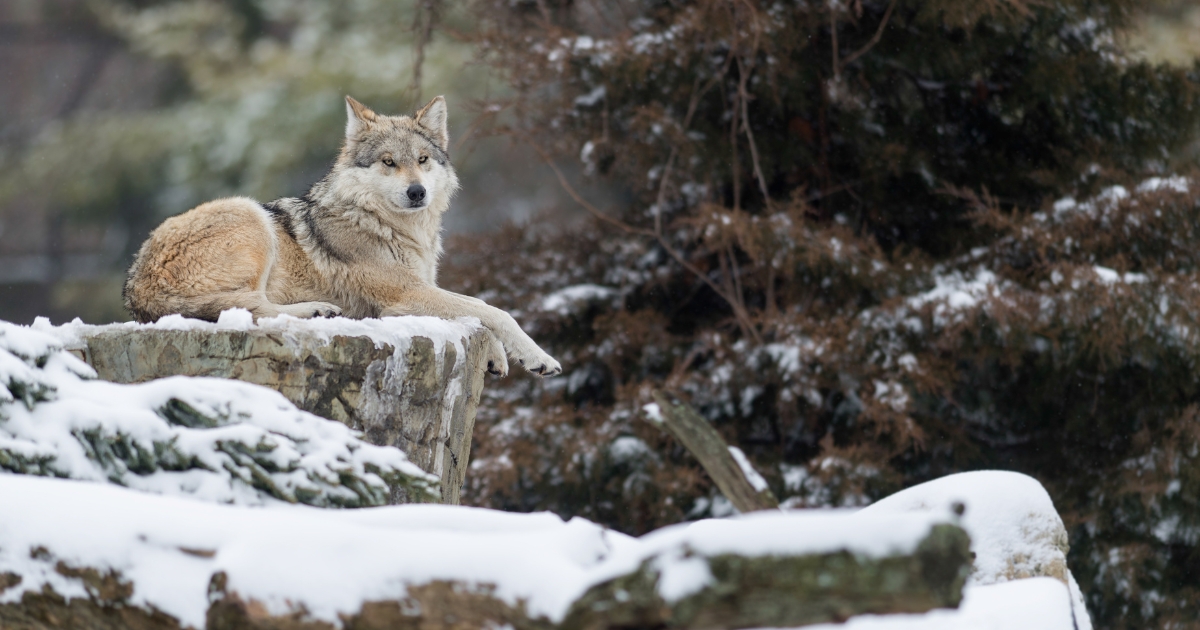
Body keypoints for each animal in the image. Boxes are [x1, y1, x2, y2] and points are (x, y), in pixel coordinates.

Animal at [124, 95, 560, 377]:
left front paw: (498, 357)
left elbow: (476, 312)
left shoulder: (423, 287)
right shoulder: (404, 296)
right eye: (388, 162)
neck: (386, 225)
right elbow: (491, 309)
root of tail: (135, 288)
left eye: (422, 160)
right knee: (246, 308)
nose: (417, 192)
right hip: (250, 214)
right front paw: (538, 357)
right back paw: (317, 311)